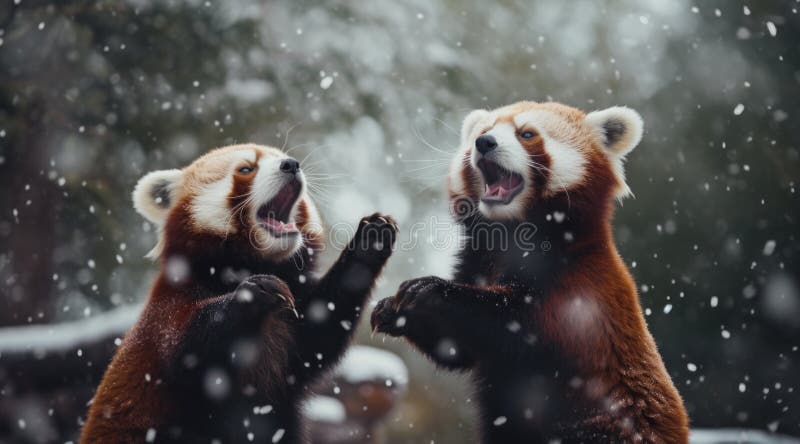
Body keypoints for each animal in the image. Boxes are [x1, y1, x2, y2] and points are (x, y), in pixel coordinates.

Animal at [81, 144, 397, 443]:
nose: (291, 165)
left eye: (283, 158)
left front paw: (370, 240)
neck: (243, 266)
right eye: (246, 169)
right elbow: (189, 344)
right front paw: (256, 292)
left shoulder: (291, 333)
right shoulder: (167, 314)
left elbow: (321, 331)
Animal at [372, 102, 689, 443]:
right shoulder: (475, 262)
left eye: (526, 134)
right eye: (484, 131)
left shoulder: (578, 292)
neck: (511, 236)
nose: (484, 143)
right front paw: (391, 309)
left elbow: (513, 320)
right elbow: (457, 350)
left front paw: (430, 291)